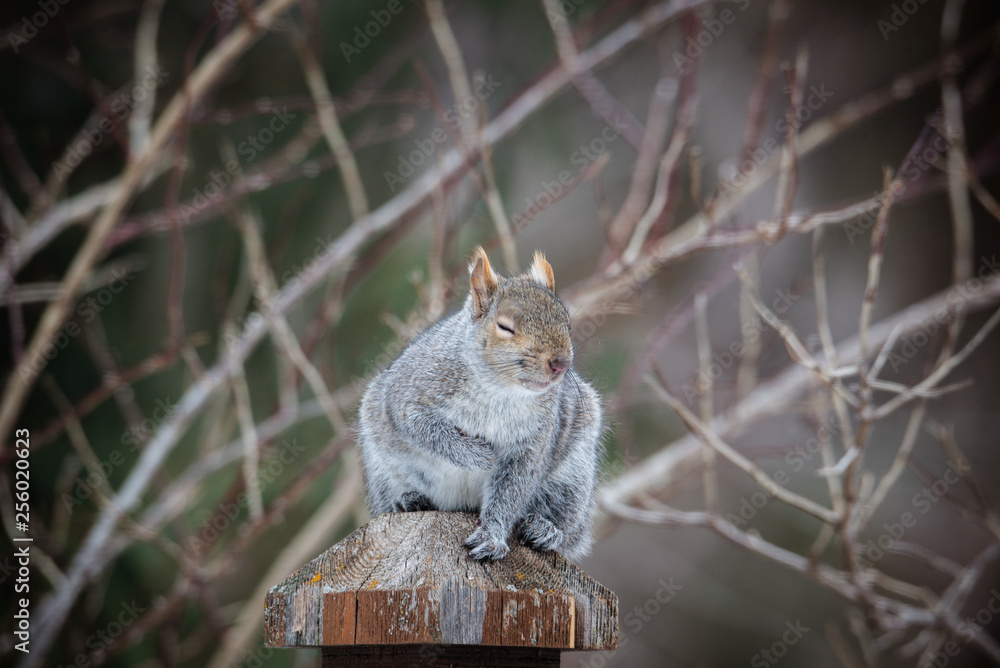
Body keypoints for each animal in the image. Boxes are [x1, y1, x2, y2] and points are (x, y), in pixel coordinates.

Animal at [358, 247, 602, 562]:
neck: (501, 389)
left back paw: (546, 529)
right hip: (382, 470)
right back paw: (407, 501)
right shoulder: (408, 395)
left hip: (572, 479)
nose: (560, 363)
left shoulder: (532, 444)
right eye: (505, 327)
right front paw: (478, 455)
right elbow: (424, 428)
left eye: (567, 324)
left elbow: (510, 492)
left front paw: (491, 537)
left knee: (567, 528)